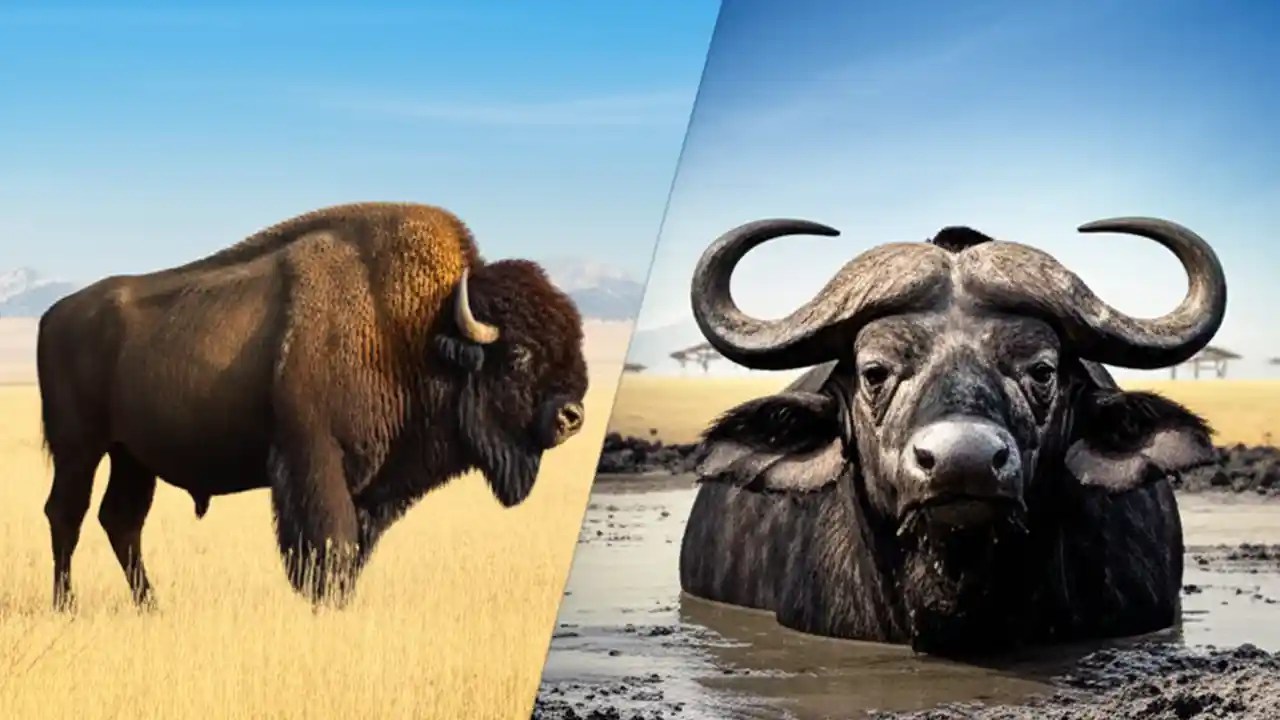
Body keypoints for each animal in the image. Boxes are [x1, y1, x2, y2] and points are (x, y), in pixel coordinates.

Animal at [37, 202, 588, 610]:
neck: (420, 332)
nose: (572, 417)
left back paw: (151, 606)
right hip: (80, 449)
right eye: (518, 354)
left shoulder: (370, 489)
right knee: (68, 514)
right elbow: (330, 546)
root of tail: (53, 315)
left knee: (121, 520)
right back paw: (66, 605)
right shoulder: (316, 461)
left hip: (133, 456)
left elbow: (351, 552)